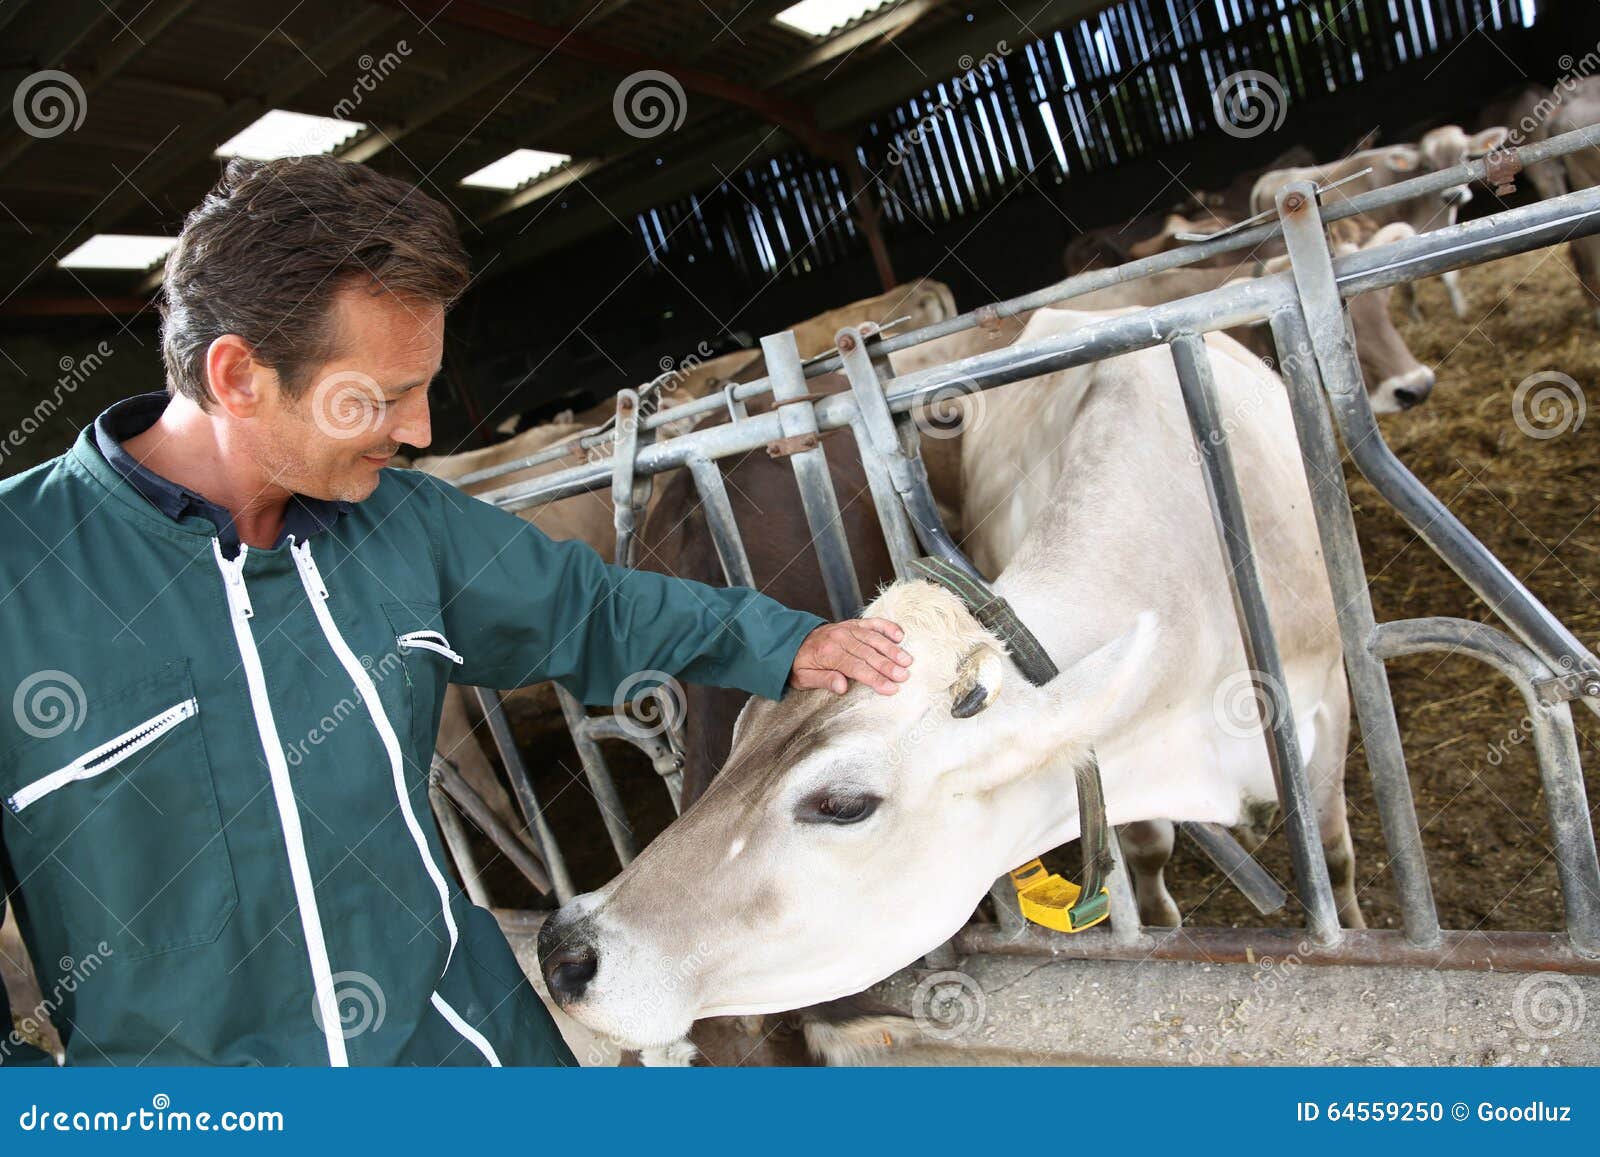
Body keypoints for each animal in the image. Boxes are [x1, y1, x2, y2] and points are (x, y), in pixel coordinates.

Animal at [536, 308, 1361, 1051]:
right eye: (743, 735)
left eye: (844, 803)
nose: (563, 950)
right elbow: (1152, 846)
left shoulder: (1329, 705)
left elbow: (1334, 854)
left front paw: (1347, 927)